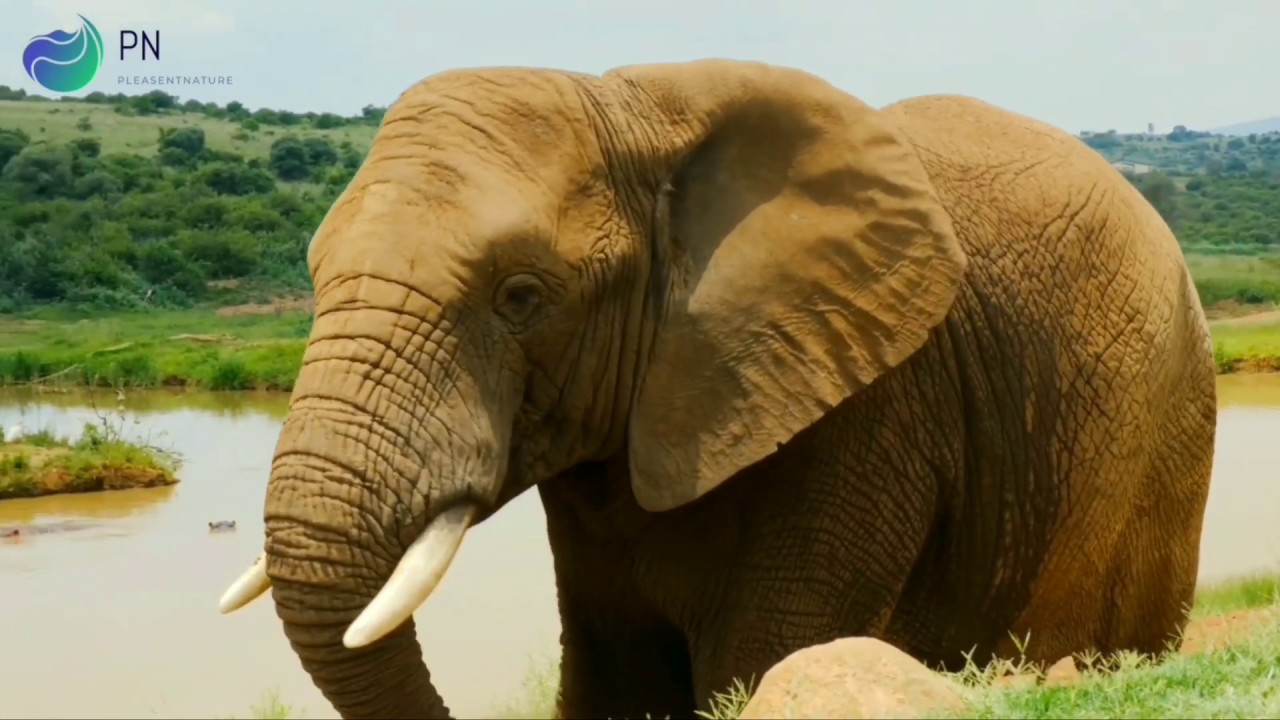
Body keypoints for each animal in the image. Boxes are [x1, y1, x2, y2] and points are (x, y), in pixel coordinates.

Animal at [217, 58, 1218, 720]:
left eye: (522, 297)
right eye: (313, 275)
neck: (637, 105)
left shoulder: (873, 402)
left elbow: (765, 654)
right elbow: (613, 674)